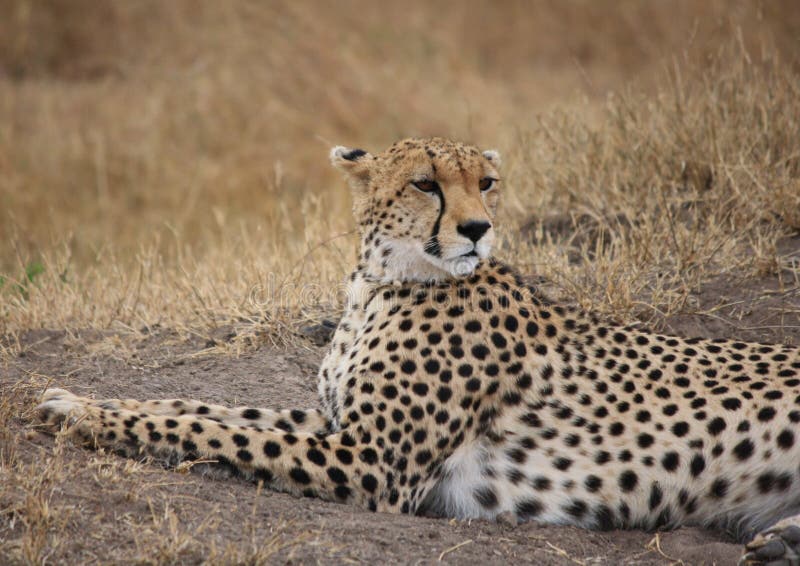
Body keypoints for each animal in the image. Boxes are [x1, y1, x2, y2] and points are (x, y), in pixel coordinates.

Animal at [35, 137, 800, 565]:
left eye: (485, 183)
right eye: (425, 183)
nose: (477, 229)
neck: (382, 281)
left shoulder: (372, 464)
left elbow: (217, 429)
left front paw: (88, 419)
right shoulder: (337, 424)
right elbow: (201, 406)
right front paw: (80, 398)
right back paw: (780, 542)